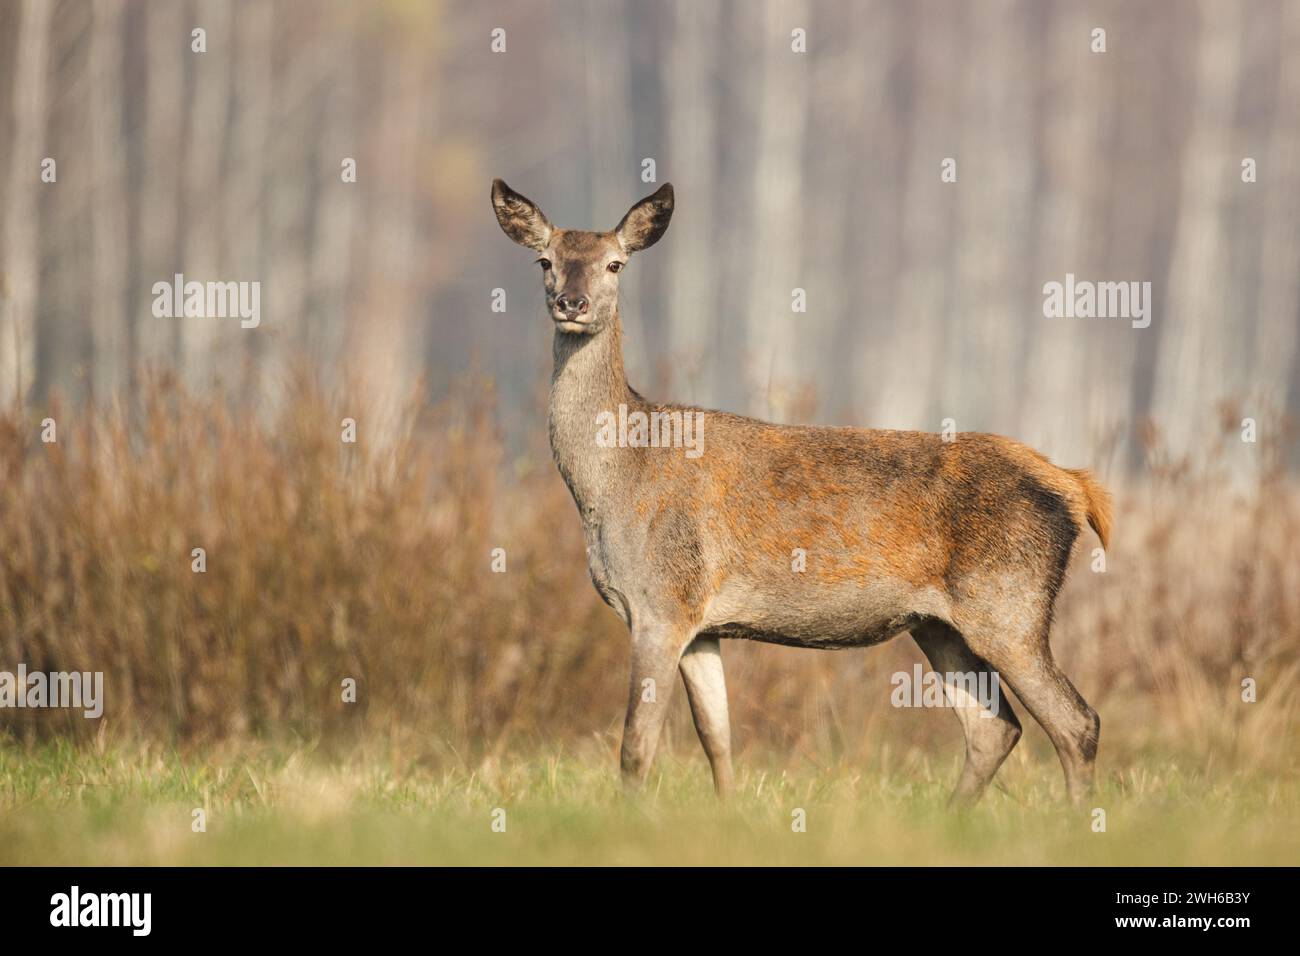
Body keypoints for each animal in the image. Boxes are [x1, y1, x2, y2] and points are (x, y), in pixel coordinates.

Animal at [491, 178, 1112, 808]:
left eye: (615, 263)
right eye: (545, 260)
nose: (572, 303)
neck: (613, 479)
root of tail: (1075, 488)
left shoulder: (661, 601)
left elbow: (635, 748)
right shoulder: (702, 625)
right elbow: (717, 738)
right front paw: (726, 811)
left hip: (1010, 604)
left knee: (1075, 720)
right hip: (940, 624)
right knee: (994, 726)